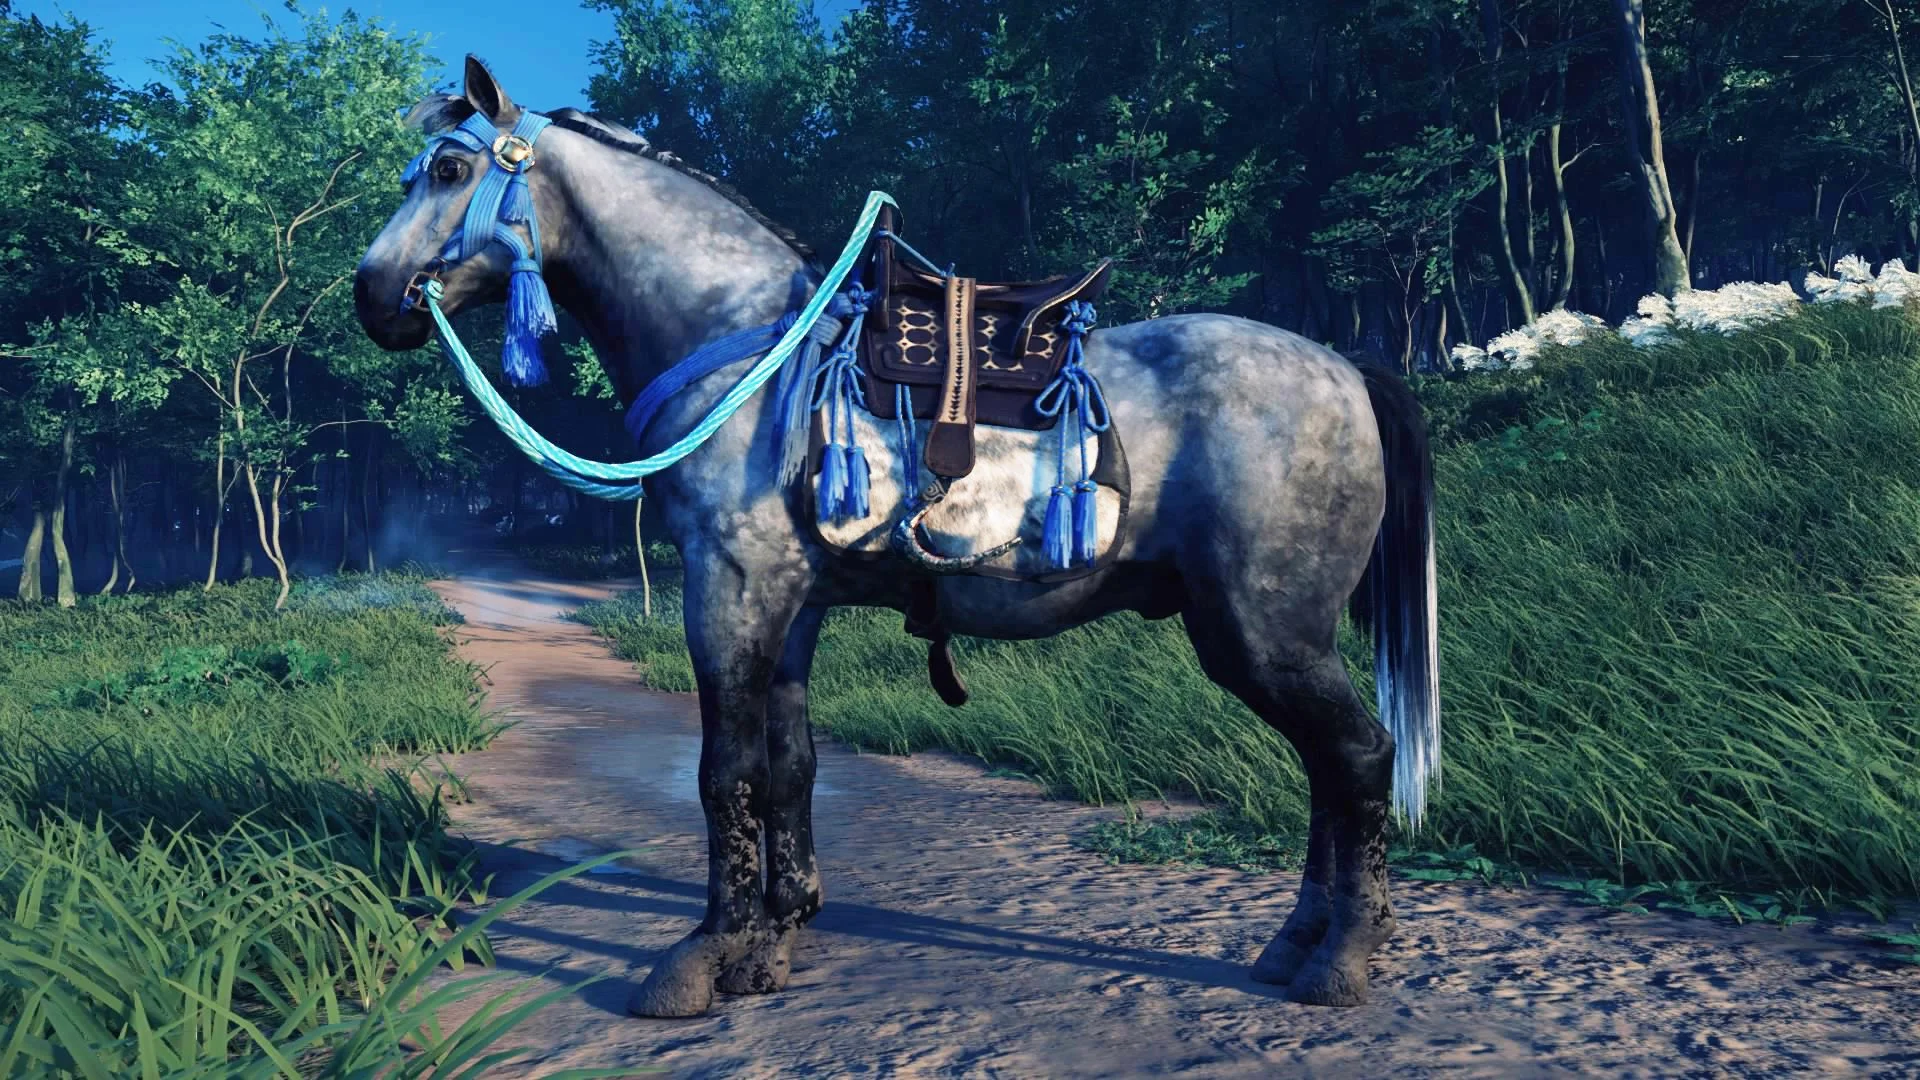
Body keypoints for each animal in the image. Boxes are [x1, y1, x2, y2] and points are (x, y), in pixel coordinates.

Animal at [354, 56, 1440, 1017]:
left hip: (1266, 634)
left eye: (447, 171)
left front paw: (703, 956)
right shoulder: (786, 606)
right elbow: (786, 767)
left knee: (1357, 758)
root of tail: (1347, 370)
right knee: (1328, 770)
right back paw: (1295, 943)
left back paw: (1340, 958)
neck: (743, 344)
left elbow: (723, 774)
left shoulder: (729, 590)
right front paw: (776, 935)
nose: (373, 293)